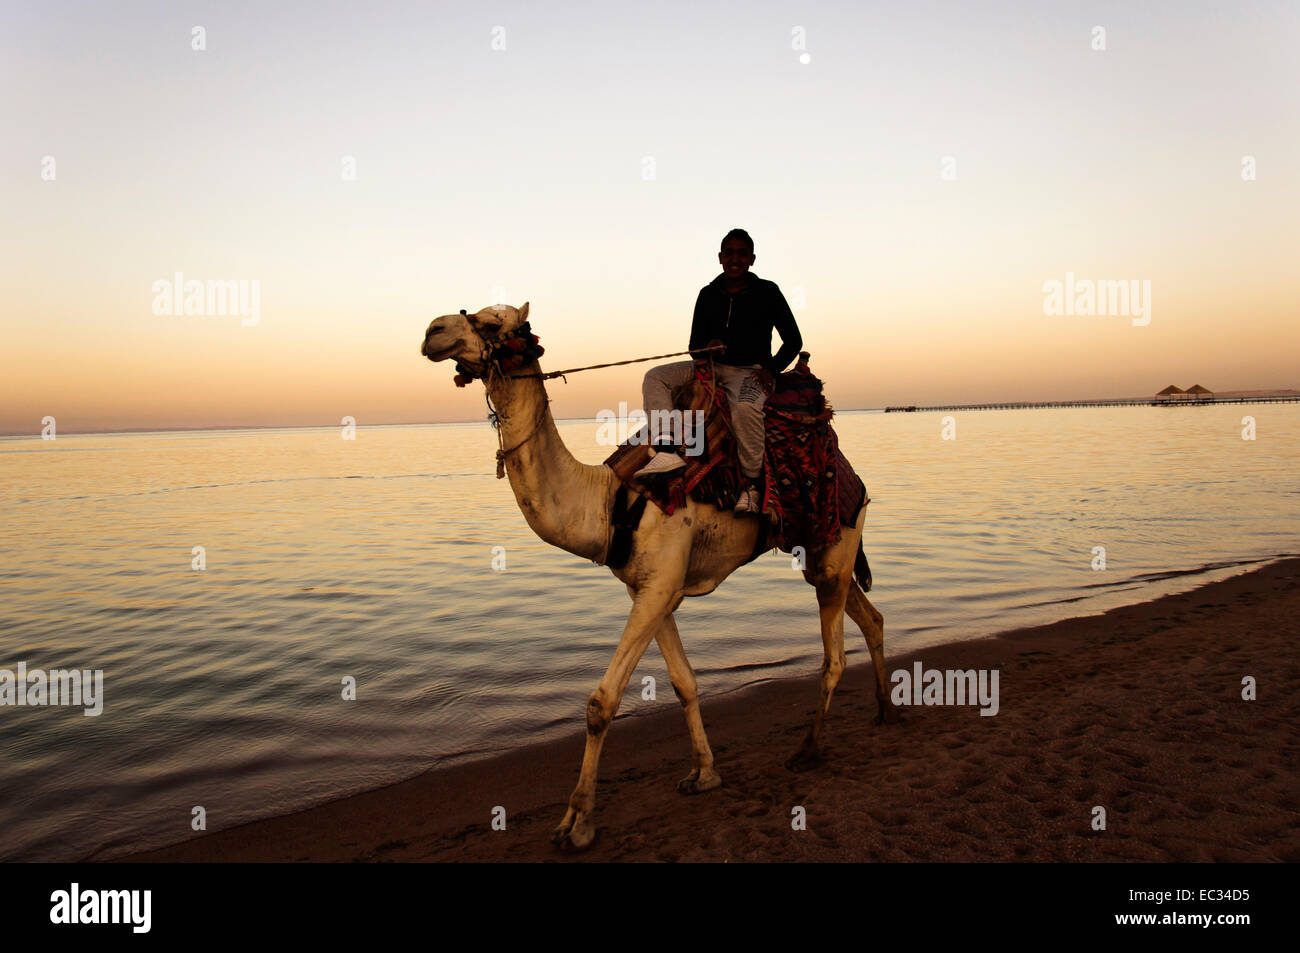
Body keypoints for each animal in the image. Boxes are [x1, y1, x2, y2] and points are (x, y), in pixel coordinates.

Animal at [421, 302, 899, 851]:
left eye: (495, 323)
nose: (433, 331)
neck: (609, 498)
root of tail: (852, 472)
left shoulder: (660, 584)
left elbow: (600, 703)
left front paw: (576, 823)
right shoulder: (649, 589)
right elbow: (683, 682)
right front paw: (705, 774)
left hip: (835, 543)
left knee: (833, 657)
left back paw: (809, 748)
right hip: (824, 557)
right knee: (871, 618)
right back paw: (887, 711)